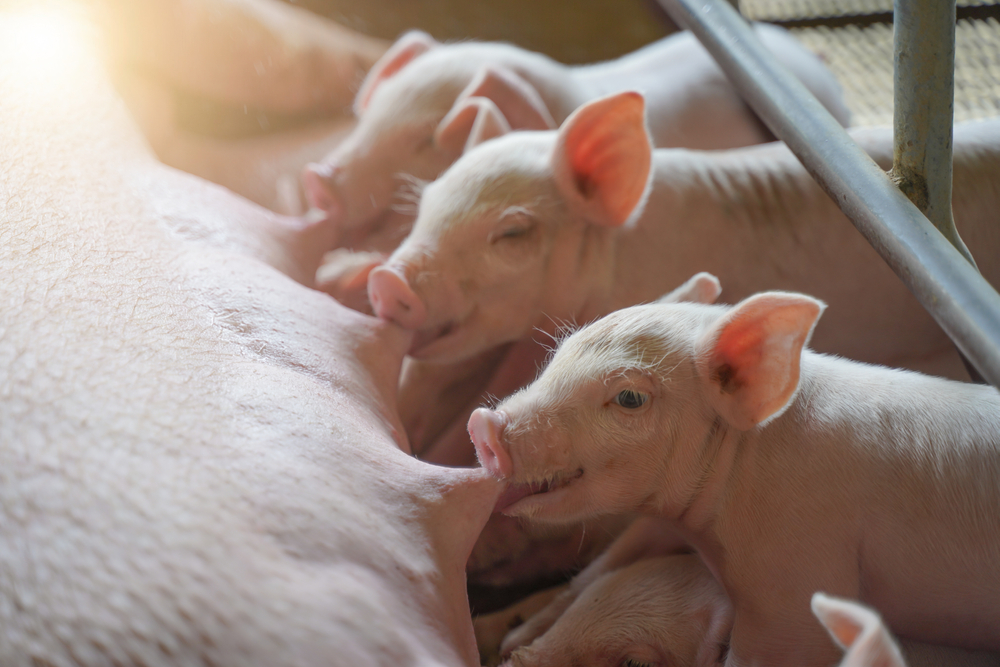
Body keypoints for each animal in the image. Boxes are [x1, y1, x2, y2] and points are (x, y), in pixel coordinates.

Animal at [467, 289, 1000, 666]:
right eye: (557, 356)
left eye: (629, 398)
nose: (483, 424)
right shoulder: (665, 519)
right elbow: (597, 571)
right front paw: (511, 635)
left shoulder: (796, 580)